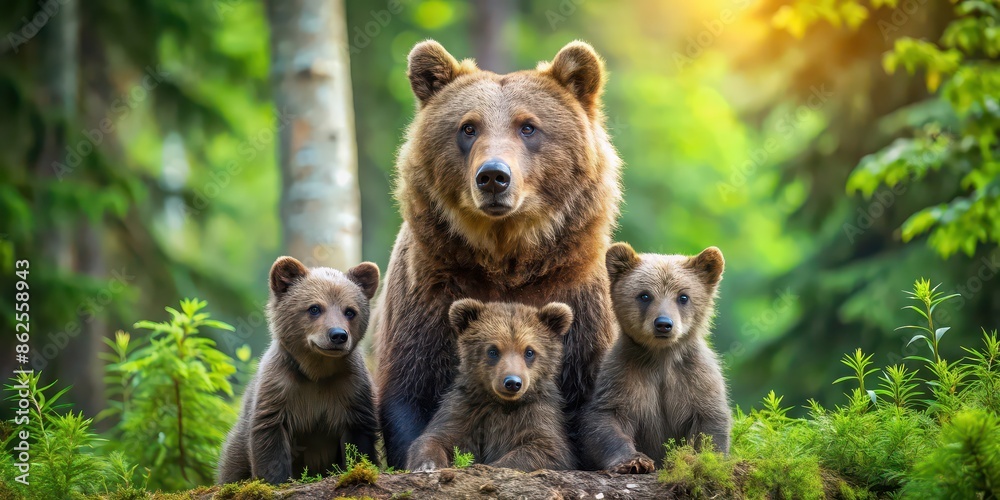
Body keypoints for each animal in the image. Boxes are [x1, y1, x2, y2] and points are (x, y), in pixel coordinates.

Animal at [217, 256, 381, 485]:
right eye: (314, 308)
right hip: (236, 448)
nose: (338, 335)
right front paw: (276, 479)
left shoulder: (351, 390)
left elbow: (357, 442)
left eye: (350, 311)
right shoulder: (279, 389)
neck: (316, 372)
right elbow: (270, 441)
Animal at [405, 299, 576, 472]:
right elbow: (436, 436)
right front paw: (427, 464)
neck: (502, 404)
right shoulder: (464, 410)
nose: (512, 382)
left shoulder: (537, 413)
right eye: (493, 350)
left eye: (529, 351)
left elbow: (548, 448)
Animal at [579, 243, 732, 473]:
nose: (663, 324)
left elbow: (709, 419)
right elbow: (607, 419)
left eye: (683, 296)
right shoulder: (624, 376)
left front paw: (700, 459)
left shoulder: (695, 376)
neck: (661, 356)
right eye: (644, 295)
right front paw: (634, 461)